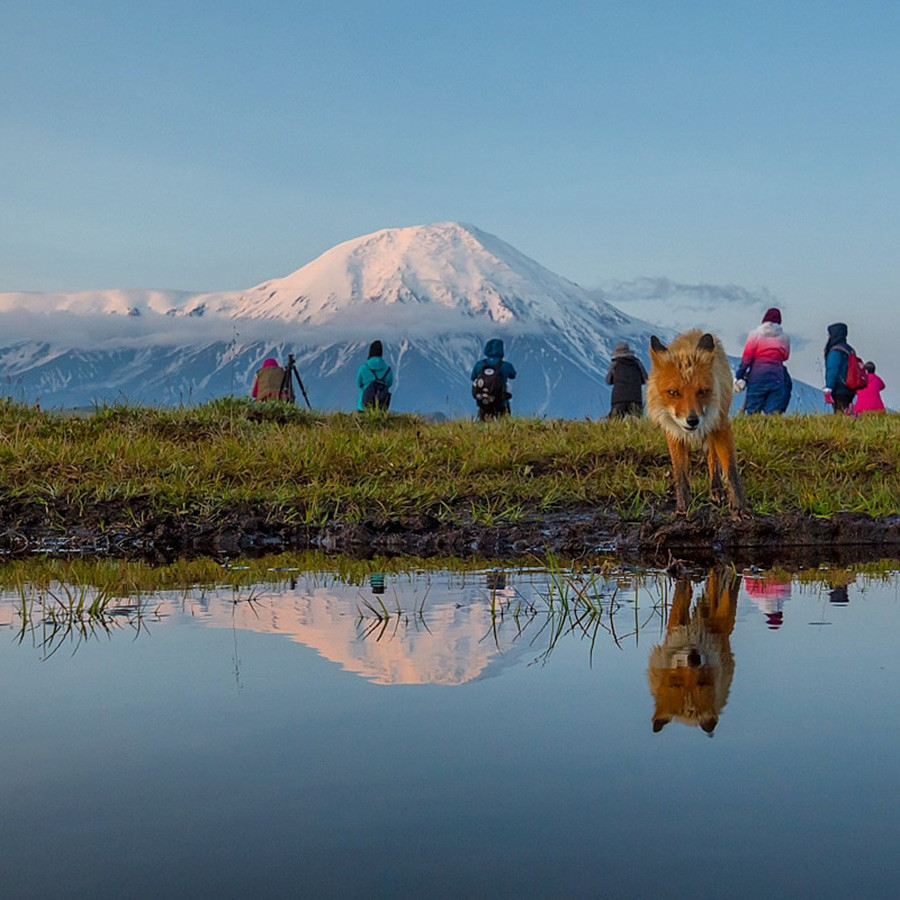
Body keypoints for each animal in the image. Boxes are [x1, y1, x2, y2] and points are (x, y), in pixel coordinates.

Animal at [647, 330, 747, 514]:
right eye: (673, 392)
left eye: (703, 391)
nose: (692, 420)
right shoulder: (674, 432)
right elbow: (680, 473)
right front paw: (682, 509)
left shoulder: (720, 425)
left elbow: (731, 470)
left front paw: (739, 508)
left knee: (712, 458)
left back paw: (716, 488)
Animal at [647, 566, 740, 735]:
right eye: (675, 684)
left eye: (701, 683)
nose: (693, 659)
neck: (694, 634)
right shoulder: (676, 626)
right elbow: (682, 595)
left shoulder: (720, 629)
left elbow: (725, 600)